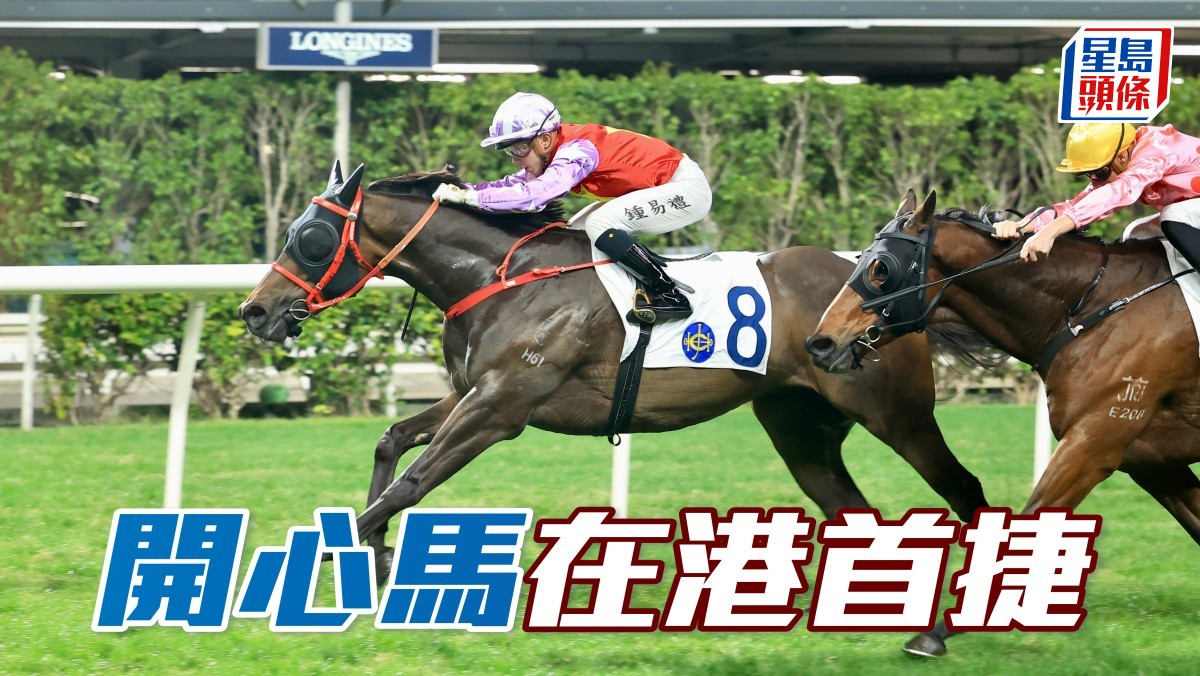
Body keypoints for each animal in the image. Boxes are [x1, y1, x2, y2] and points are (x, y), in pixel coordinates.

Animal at [239, 162, 991, 585]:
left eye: (309, 240)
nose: (255, 311)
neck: (497, 277)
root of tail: (883, 284)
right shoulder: (471, 393)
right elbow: (391, 440)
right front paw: (373, 555)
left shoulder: (500, 408)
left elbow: (413, 482)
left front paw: (328, 554)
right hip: (800, 427)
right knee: (853, 511)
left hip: (896, 413)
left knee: (962, 486)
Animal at [805, 189, 1200, 657]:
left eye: (881, 268)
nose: (820, 343)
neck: (1090, 306)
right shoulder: (1151, 461)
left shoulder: (1093, 443)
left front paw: (939, 631)